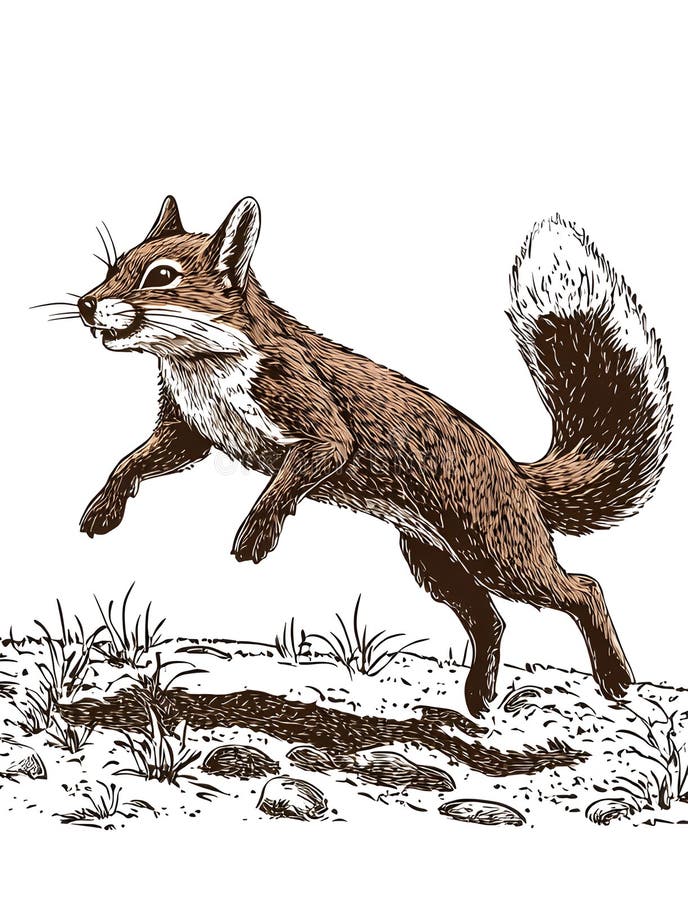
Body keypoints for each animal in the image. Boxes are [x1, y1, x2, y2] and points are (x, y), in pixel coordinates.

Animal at [71, 196, 671, 718]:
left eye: (161, 276)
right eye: (115, 267)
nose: (84, 304)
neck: (204, 370)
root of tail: (514, 470)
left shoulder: (323, 435)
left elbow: (283, 484)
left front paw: (256, 534)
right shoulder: (189, 434)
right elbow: (129, 464)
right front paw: (102, 511)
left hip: (500, 558)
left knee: (584, 590)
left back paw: (616, 680)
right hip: (435, 565)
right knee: (492, 623)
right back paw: (478, 699)